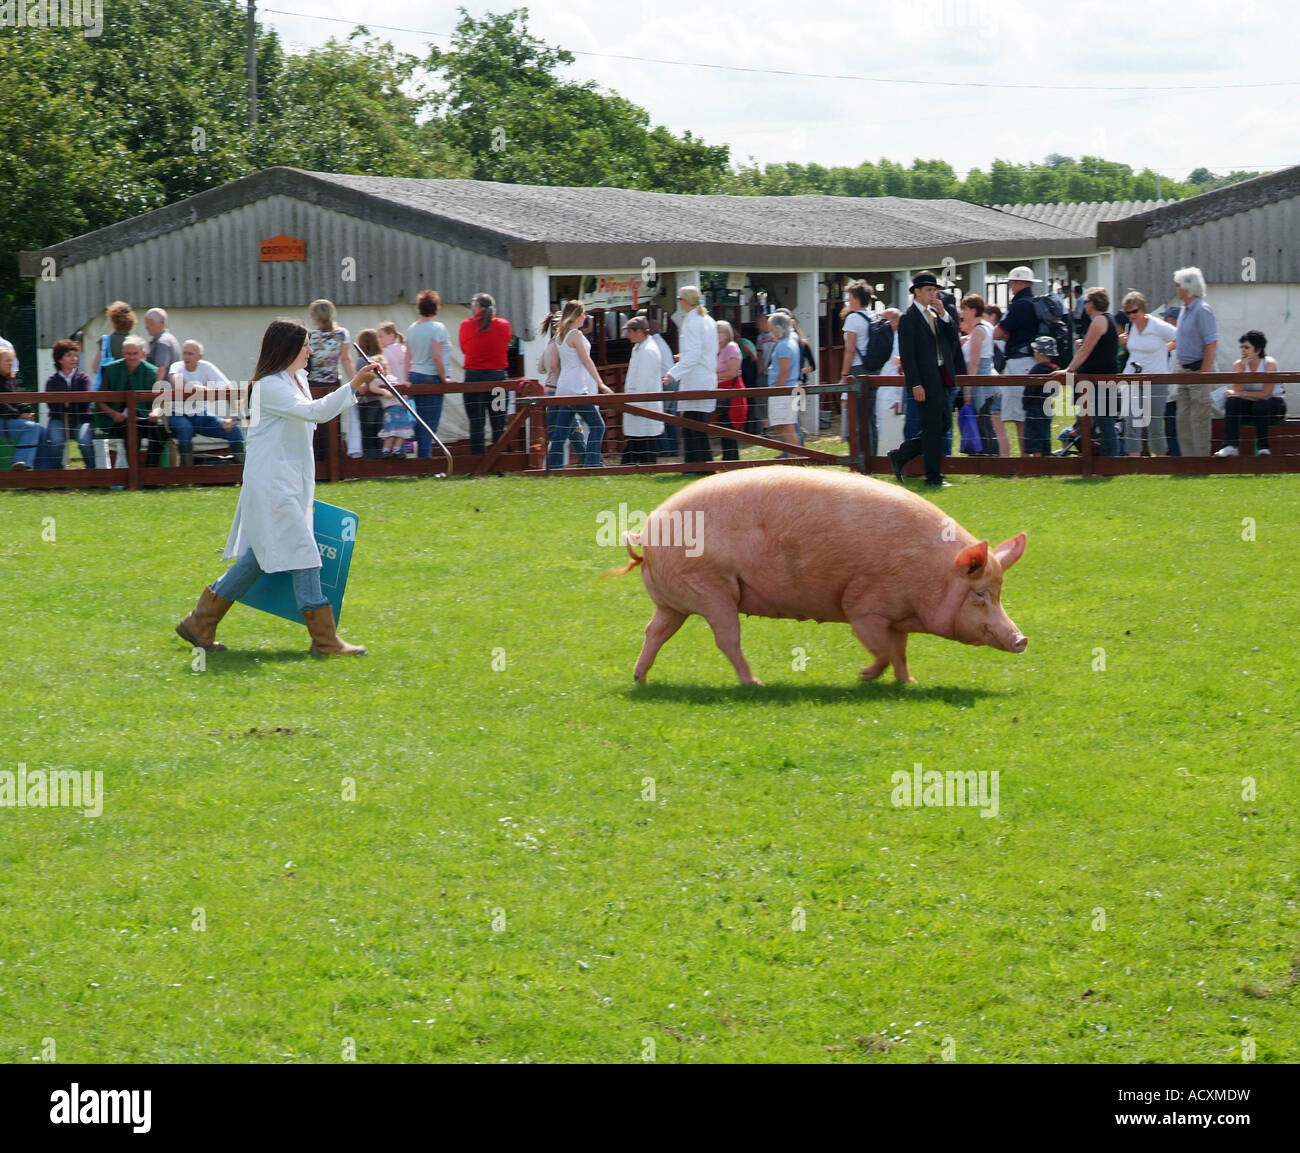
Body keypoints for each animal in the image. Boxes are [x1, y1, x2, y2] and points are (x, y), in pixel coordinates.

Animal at [606, 466, 1027, 685]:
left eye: (999, 591)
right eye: (979, 595)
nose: (1022, 640)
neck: (930, 575)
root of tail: (644, 535)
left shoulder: (897, 618)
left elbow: (901, 651)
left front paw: (909, 683)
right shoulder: (864, 605)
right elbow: (883, 648)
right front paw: (863, 676)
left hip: (675, 600)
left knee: (655, 631)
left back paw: (640, 678)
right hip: (711, 591)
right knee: (726, 639)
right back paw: (755, 683)